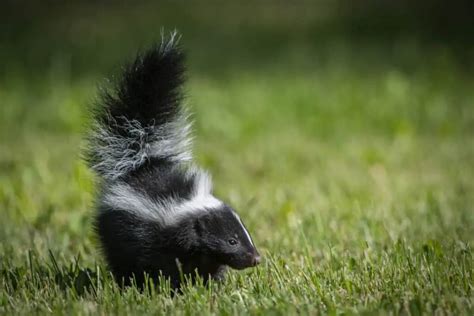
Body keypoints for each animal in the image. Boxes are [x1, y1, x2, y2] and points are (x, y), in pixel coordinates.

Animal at [87, 32, 262, 288]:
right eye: (231, 241)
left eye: (245, 235)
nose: (255, 258)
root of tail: (144, 161)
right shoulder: (152, 237)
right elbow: (162, 265)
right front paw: (170, 287)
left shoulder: (204, 254)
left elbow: (208, 268)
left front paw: (212, 286)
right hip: (114, 231)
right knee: (120, 258)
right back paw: (126, 282)